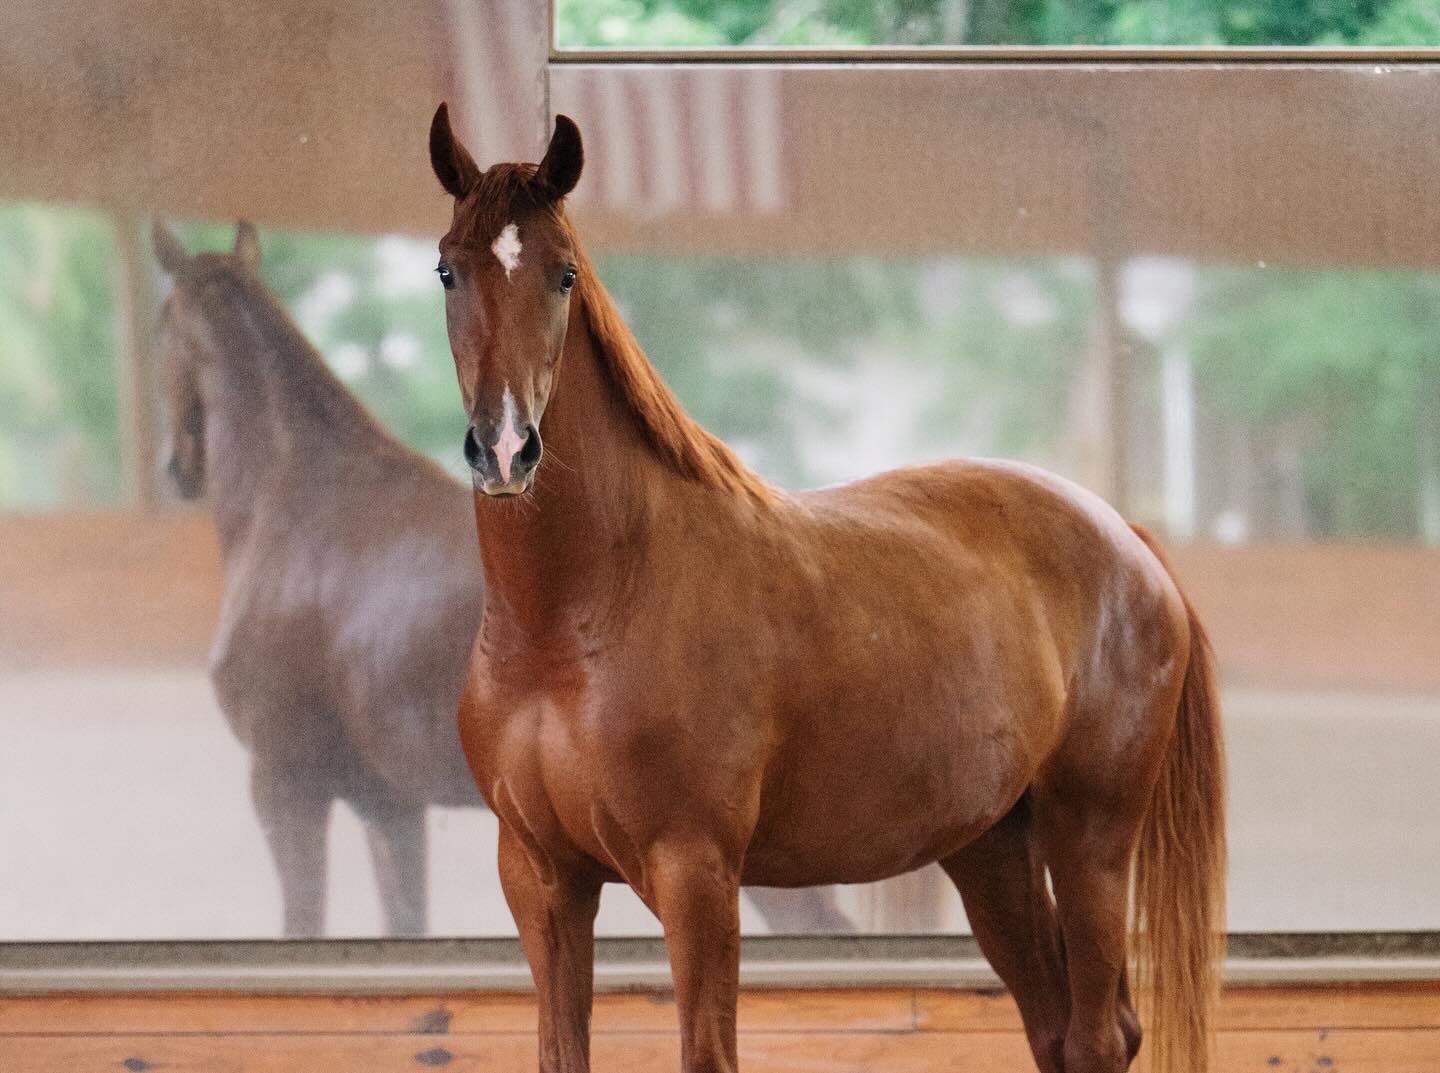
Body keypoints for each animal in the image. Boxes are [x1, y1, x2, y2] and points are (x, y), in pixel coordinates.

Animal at [426, 103, 1226, 1073]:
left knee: (1102, 1037)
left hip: (1092, 839)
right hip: (993, 852)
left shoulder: (696, 870)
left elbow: (709, 1053)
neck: (577, 620)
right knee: (1060, 1029)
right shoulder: (543, 877)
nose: (506, 448)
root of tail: (1127, 538)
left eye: (564, 273)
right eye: (448, 268)